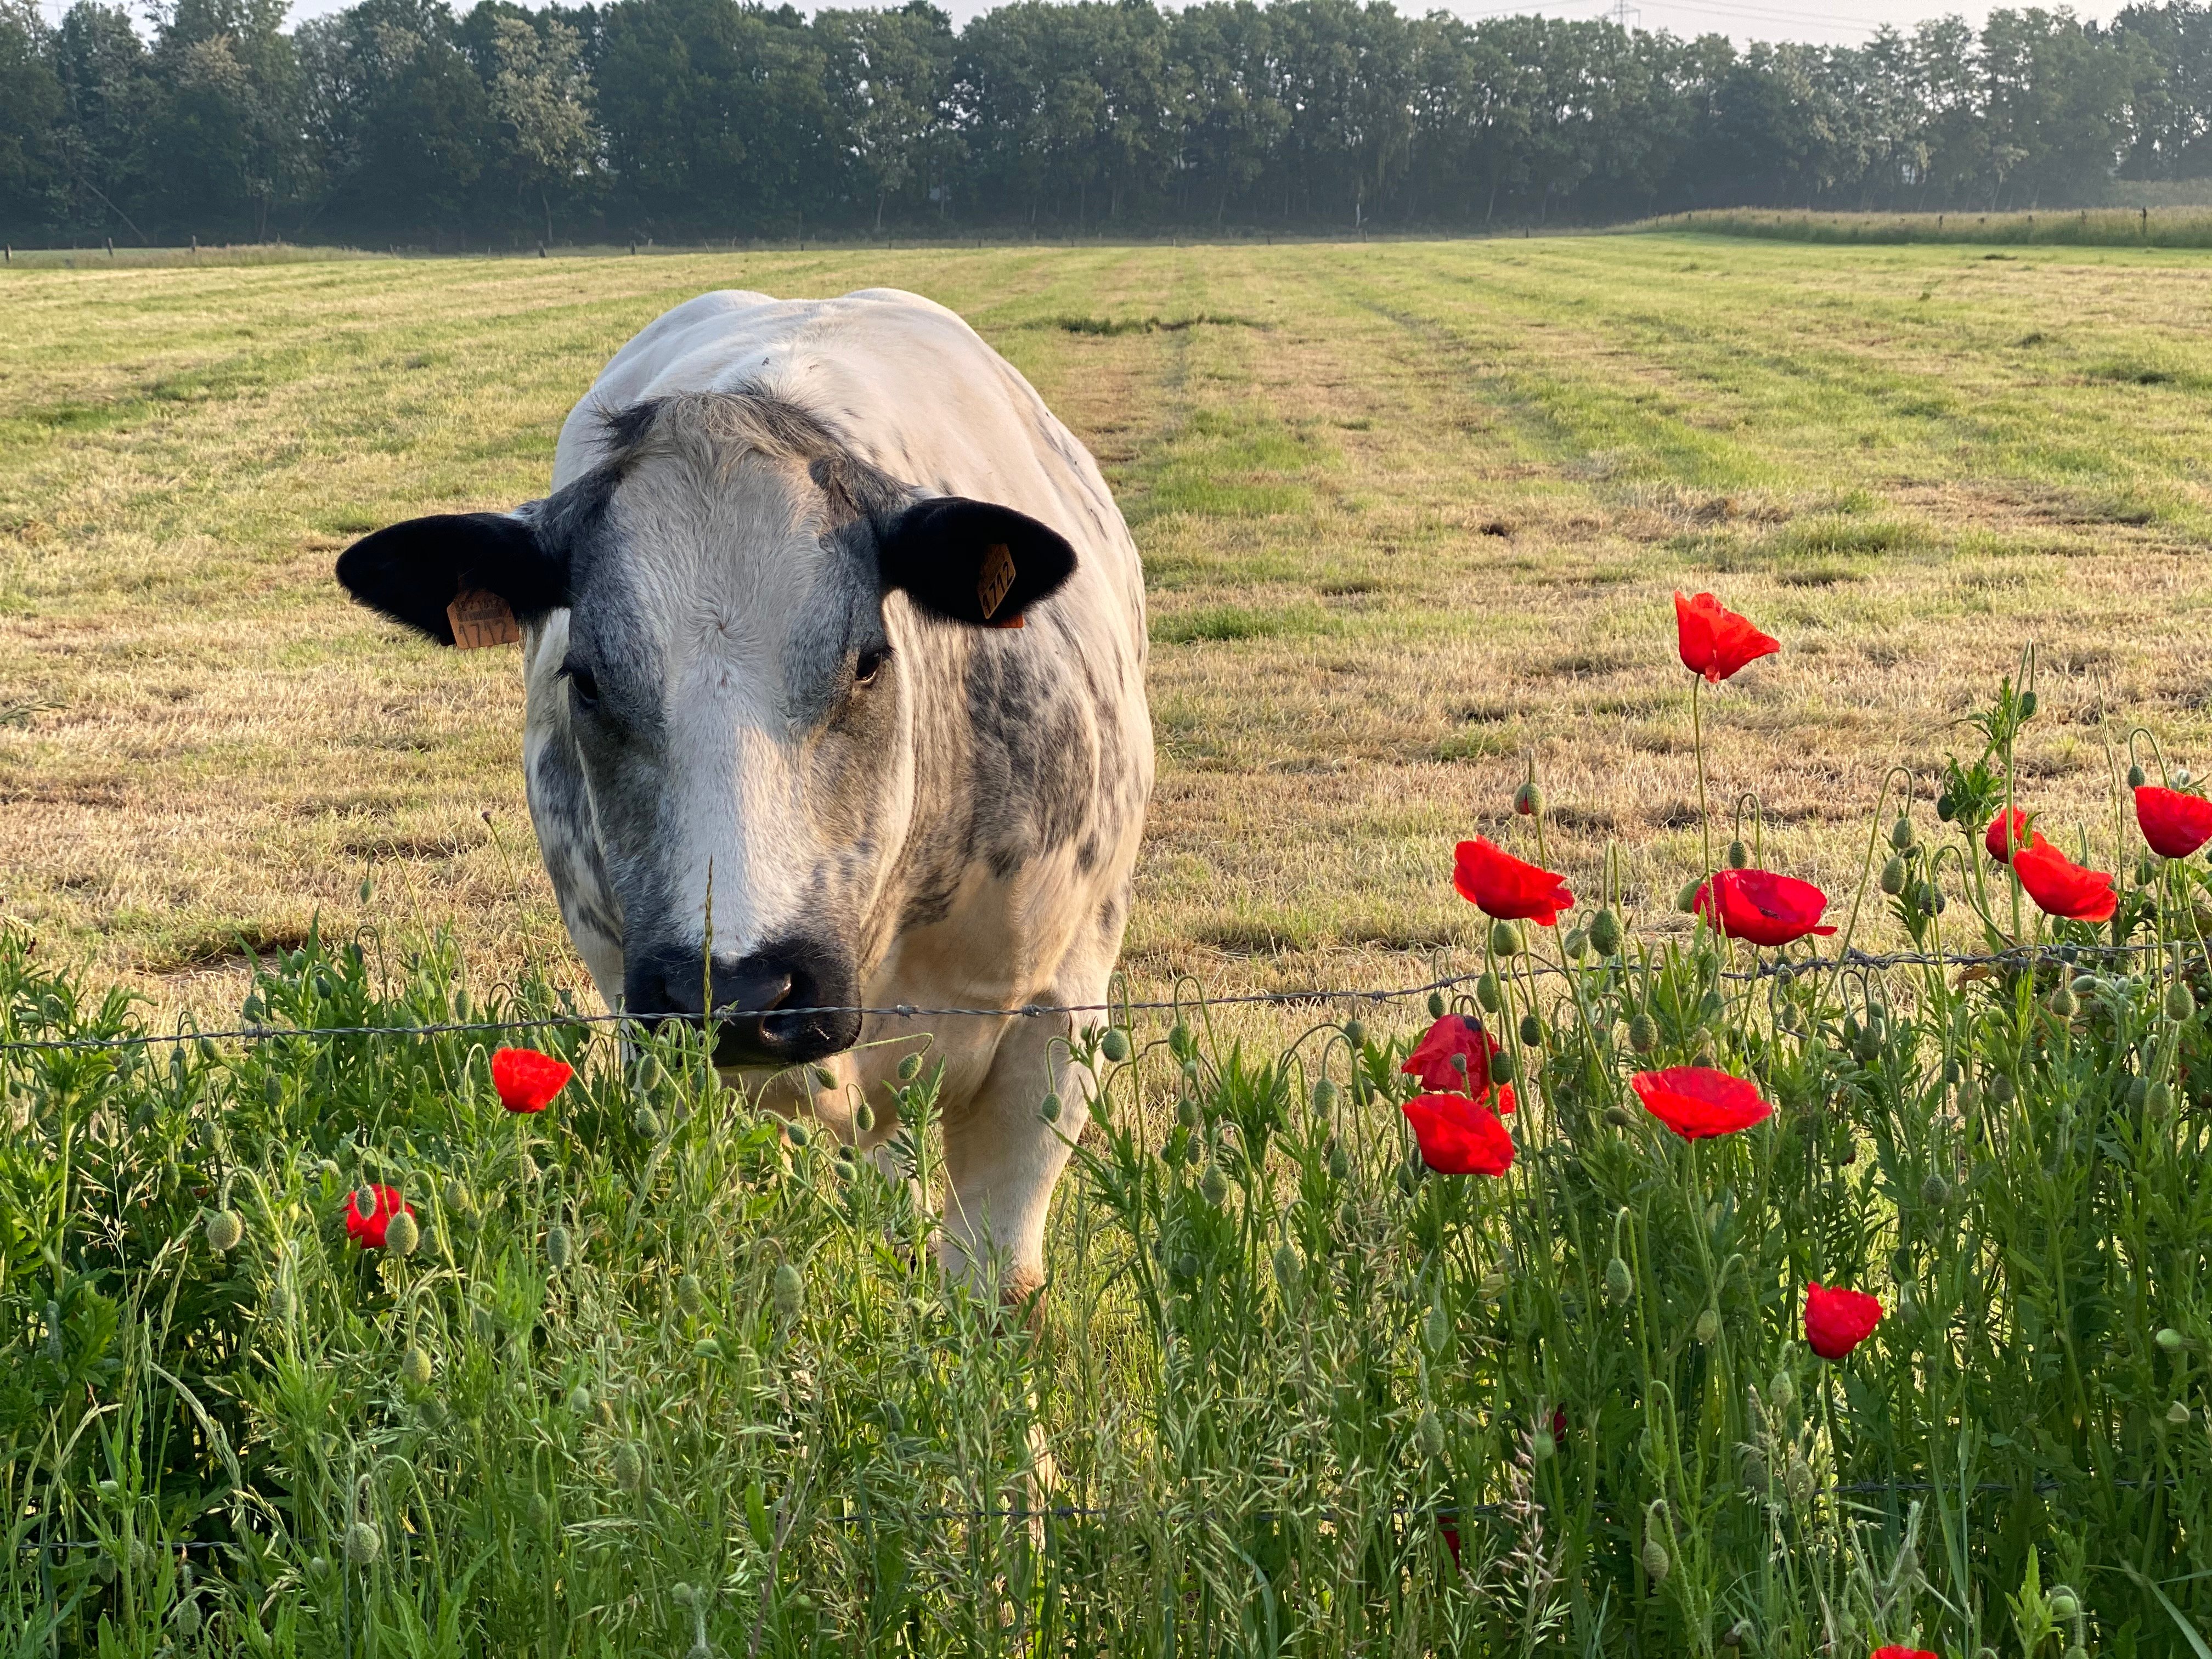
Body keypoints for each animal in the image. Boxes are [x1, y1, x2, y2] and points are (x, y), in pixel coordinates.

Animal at [335, 287, 1153, 1311]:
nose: (738, 991)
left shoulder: (1054, 1021)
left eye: (868, 660)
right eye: (587, 679)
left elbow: (994, 1284)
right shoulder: (661, 1047)